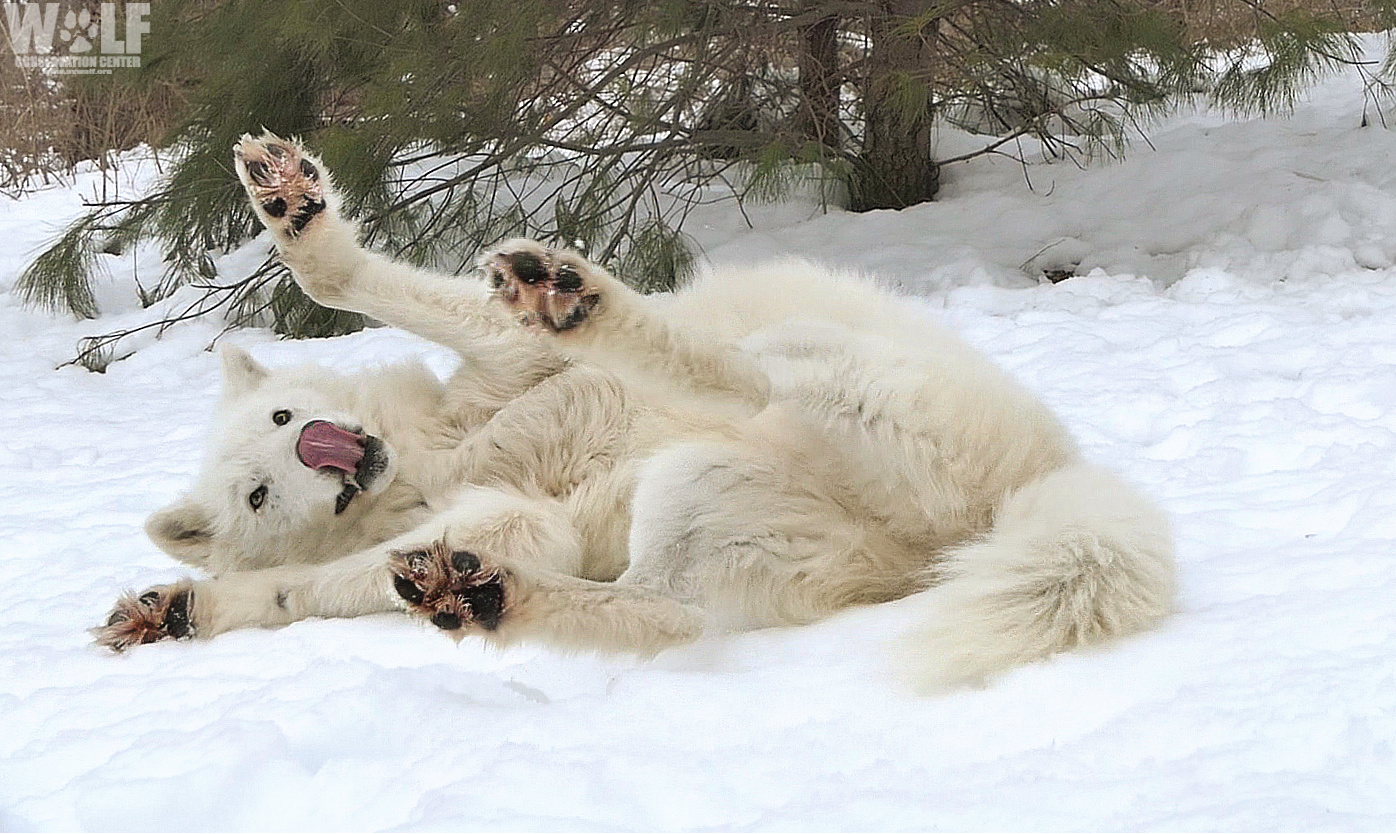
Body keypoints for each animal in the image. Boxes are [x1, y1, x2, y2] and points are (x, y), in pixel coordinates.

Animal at [96, 133, 1175, 691]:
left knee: (738, 379)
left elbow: (339, 280)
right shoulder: (507, 521)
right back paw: (489, 599)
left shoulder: (506, 362)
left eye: (283, 420)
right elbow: (303, 590)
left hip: (778, 380)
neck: (429, 465)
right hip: (701, 495)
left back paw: (576, 296)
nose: (323, 455)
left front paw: (290, 205)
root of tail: (1038, 488)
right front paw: (183, 611)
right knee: (672, 616)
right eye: (258, 496)